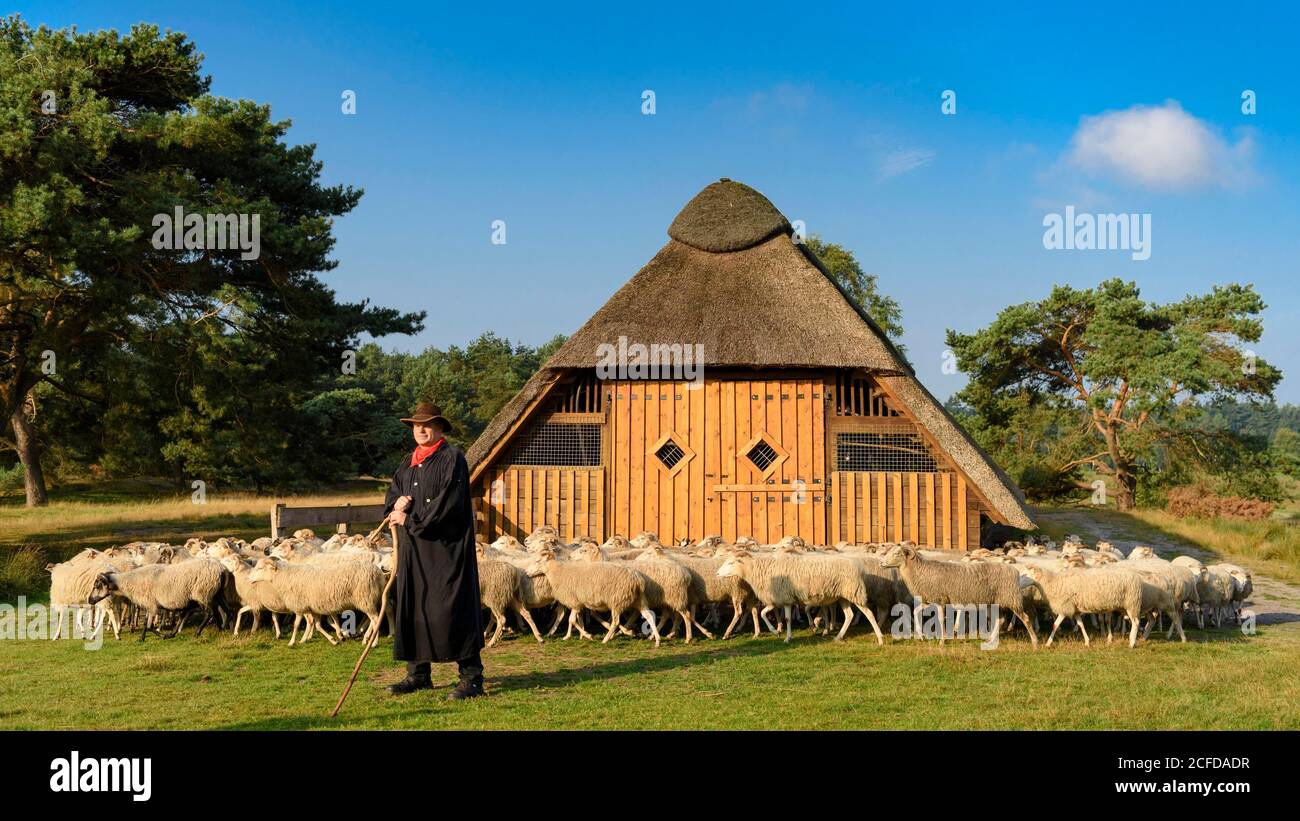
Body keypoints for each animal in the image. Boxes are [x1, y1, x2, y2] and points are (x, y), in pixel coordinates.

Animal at [88, 559, 229, 641]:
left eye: (97, 585)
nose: (89, 600)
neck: (129, 583)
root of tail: (222, 569)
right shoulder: (149, 604)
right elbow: (146, 623)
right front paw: (141, 638)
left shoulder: (151, 604)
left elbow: (149, 626)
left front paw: (163, 636)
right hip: (216, 594)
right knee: (224, 611)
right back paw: (221, 629)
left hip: (202, 594)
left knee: (210, 613)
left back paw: (198, 632)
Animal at [247, 558, 384, 646]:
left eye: (260, 568)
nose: (248, 578)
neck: (284, 577)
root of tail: (378, 573)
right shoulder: (312, 608)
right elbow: (317, 625)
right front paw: (334, 639)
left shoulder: (300, 606)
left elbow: (297, 625)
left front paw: (292, 642)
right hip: (369, 600)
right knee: (372, 620)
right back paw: (366, 639)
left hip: (366, 599)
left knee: (376, 620)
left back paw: (374, 642)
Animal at [524, 547, 661, 646]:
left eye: (537, 561)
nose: (527, 573)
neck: (557, 572)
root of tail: (637, 579)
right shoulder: (578, 603)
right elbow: (573, 620)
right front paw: (572, 636)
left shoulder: (575, 602)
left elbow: (571, 620)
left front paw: (588, 635)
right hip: (639, 600)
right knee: (648, 616)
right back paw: (657, 640)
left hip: (616, 601)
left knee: (616, 622)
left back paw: (606, 639)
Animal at [879, 544, 1038, 648]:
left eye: (897, 554)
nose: (881, 564)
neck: (921, 571)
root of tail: (1014, 571)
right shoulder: (930, 599)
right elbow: (915, 611)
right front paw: (921, 635)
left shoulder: (940, 600)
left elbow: (940, 619)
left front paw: (942, 641)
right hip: (994, 603)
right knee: (1000, 620)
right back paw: (990, 640)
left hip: (1012, 599)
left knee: (1025, 619)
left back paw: (1035, 643)